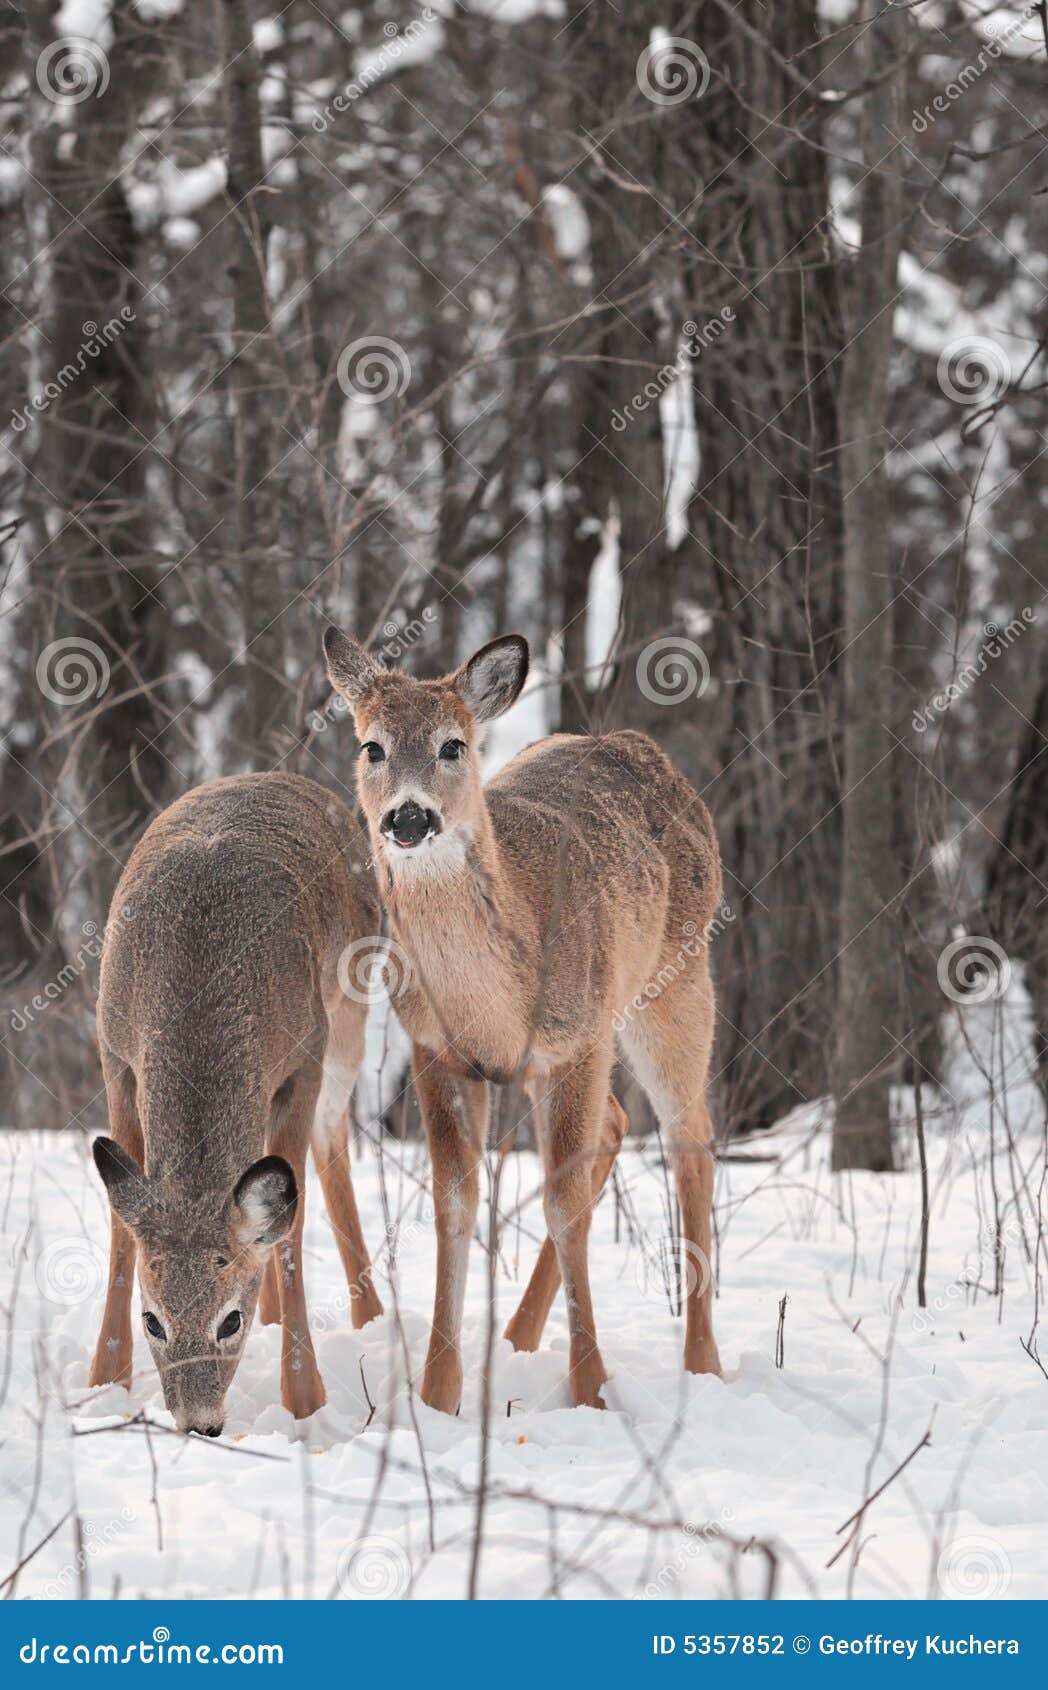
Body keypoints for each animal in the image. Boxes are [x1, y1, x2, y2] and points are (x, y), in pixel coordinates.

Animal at [87, 772, 384, 1436]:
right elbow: (122, 1235)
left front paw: (306, 1401)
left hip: (350, 1016)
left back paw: (372, 1320)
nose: (200, 1425)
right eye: (153, 1320)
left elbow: (292, 1233)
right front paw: (102, 1381)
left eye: (229, 1320)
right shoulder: (115, 1052)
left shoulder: (303, 1055)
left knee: (330, 1146)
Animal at [322, 625, 724, 1412]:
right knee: (619, 1124)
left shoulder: (574, 1041)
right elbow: (455, 1203)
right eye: (371, 746)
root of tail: (644, 749)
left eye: (453, 744)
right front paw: (439, 1392)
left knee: (691, 1139)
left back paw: (704, 1364)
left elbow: (562, 1201)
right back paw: (517, 1334)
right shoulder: (436, 1051)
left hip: (675, 986)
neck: (496, 1008)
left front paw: (591, 1390)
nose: (408, 817)